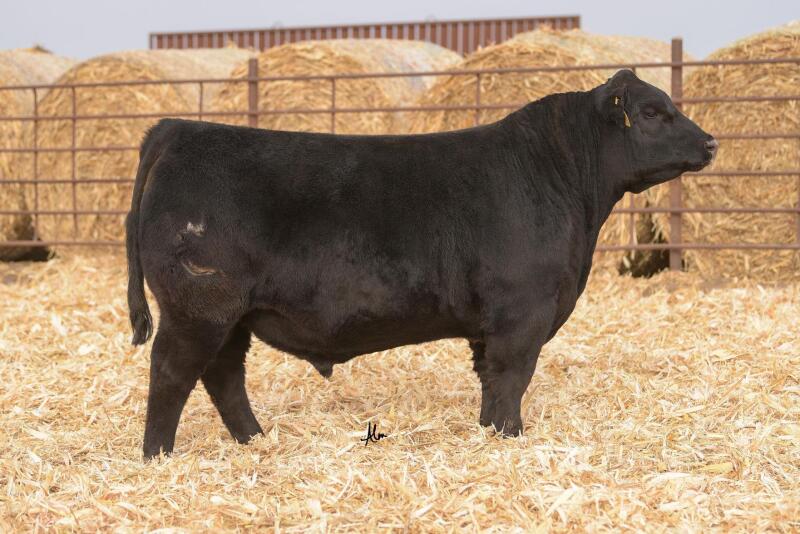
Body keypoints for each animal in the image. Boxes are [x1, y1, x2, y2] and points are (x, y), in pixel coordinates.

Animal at [126, 70, 717, 459]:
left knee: (223, 375)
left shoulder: (492, 324)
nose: (711, 142)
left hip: (230, 316)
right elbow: (511, 378)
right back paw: (158, 456)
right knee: (172, 372)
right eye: (651, 112)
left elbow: (490, 381)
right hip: (199, 306)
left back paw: (255, 440)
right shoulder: (522, 312)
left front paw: (490, 433)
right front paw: (510, 437)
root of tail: (177, 129)